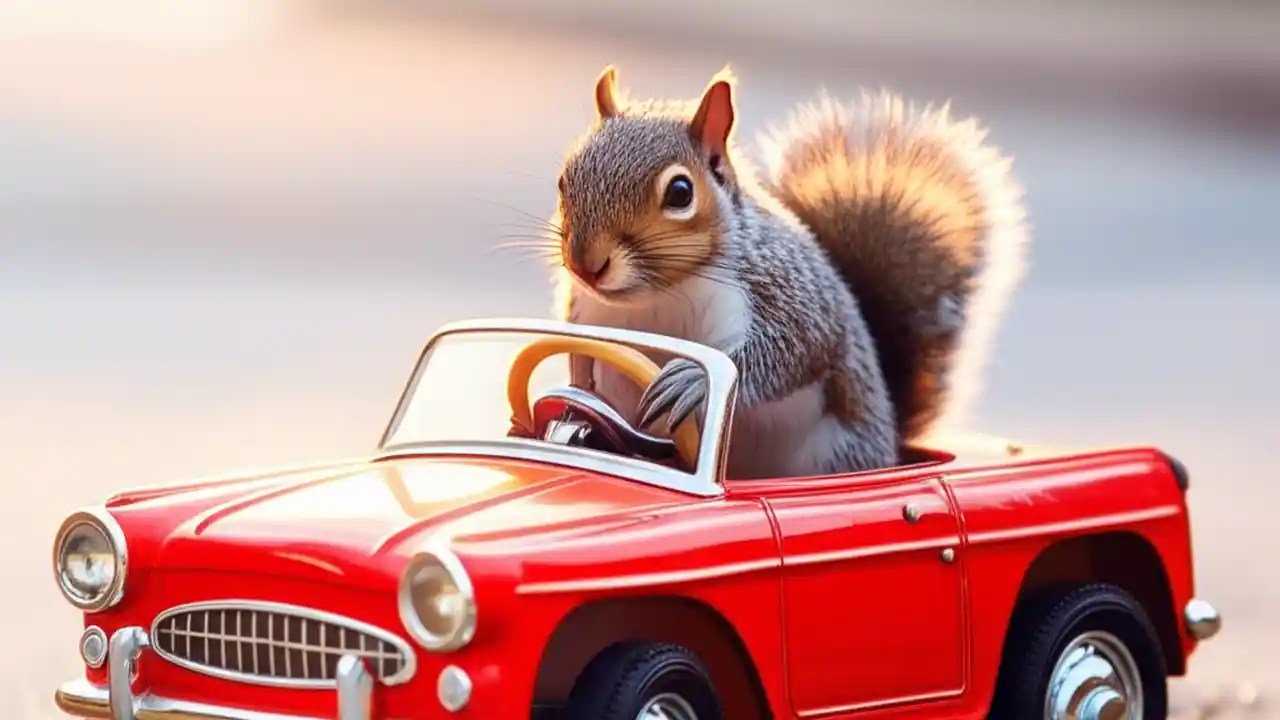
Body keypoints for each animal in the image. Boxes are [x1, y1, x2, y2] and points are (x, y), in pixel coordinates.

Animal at [547, 65, 1028, 480]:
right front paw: (575, 396)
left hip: (833, 454)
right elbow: (578, 355)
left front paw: (693, 383)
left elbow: (792, 350)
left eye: (680, 192)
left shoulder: (782, 289)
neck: (658, 293)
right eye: (564, 178)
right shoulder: (587, 310)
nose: (587, 265)